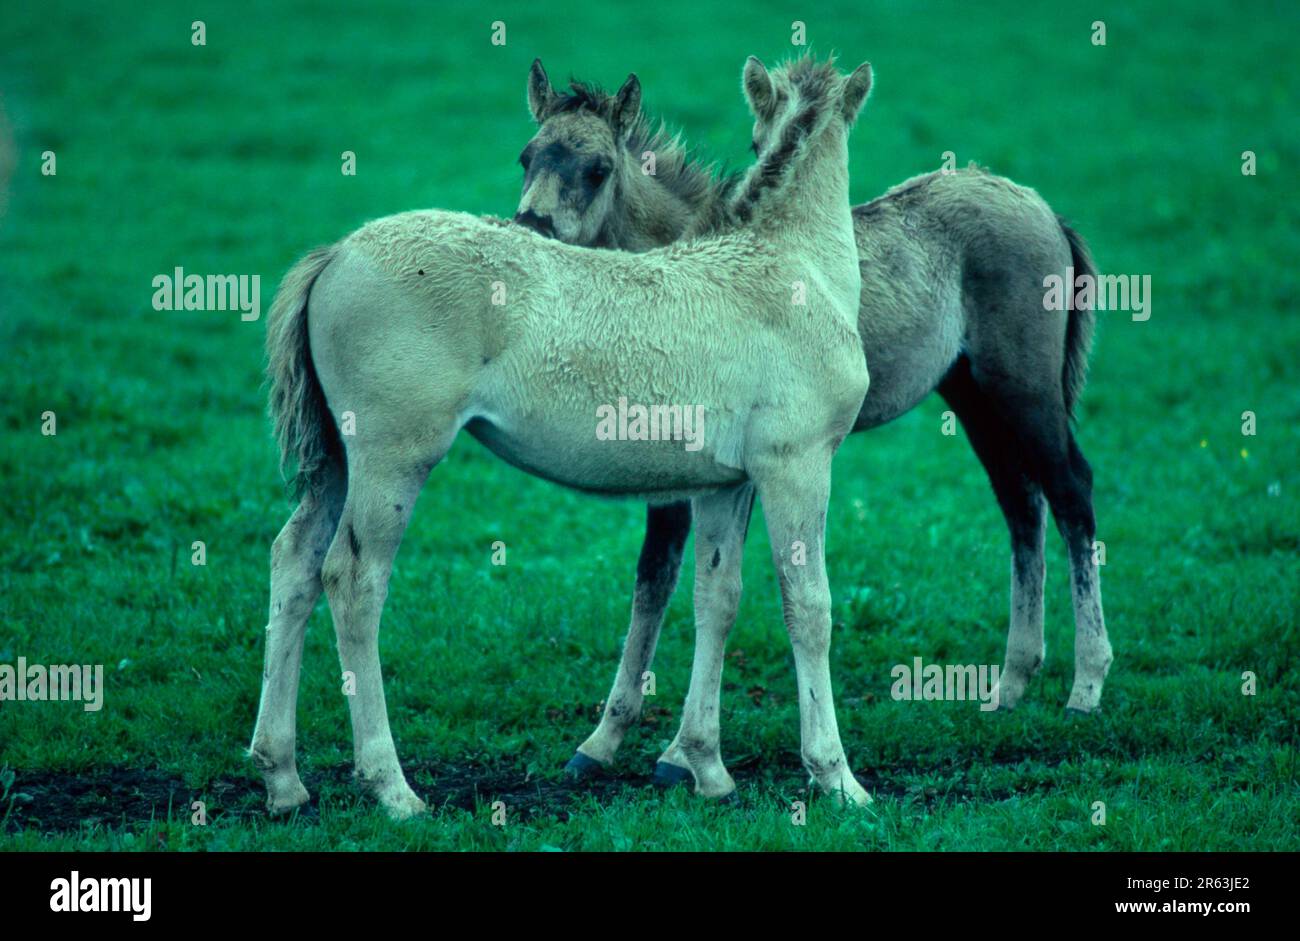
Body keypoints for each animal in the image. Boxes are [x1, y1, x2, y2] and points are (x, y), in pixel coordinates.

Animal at [249, 55, 877, 818]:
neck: (793, 270)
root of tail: (337, 253)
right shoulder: (797, 466)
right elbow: (808, 607)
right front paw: (838, 777)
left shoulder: (724, 484)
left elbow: (715, 599)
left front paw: (704, 764)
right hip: (392, 460)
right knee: (352, 579)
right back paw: (391, 786)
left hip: (337, 463)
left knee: (294, 563)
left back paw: (282, 777)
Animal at [515, 59, 1112, 783]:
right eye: (527, 156)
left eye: (598, 167)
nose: (529, 229)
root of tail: (1041, 207)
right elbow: (670, 585)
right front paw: (626, 745)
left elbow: (665, 586)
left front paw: (634, 744)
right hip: (974, 399)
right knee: (1021, 505)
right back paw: (1010, 684)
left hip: (1023, 392)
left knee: (1071, 493)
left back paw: (1086, 686)